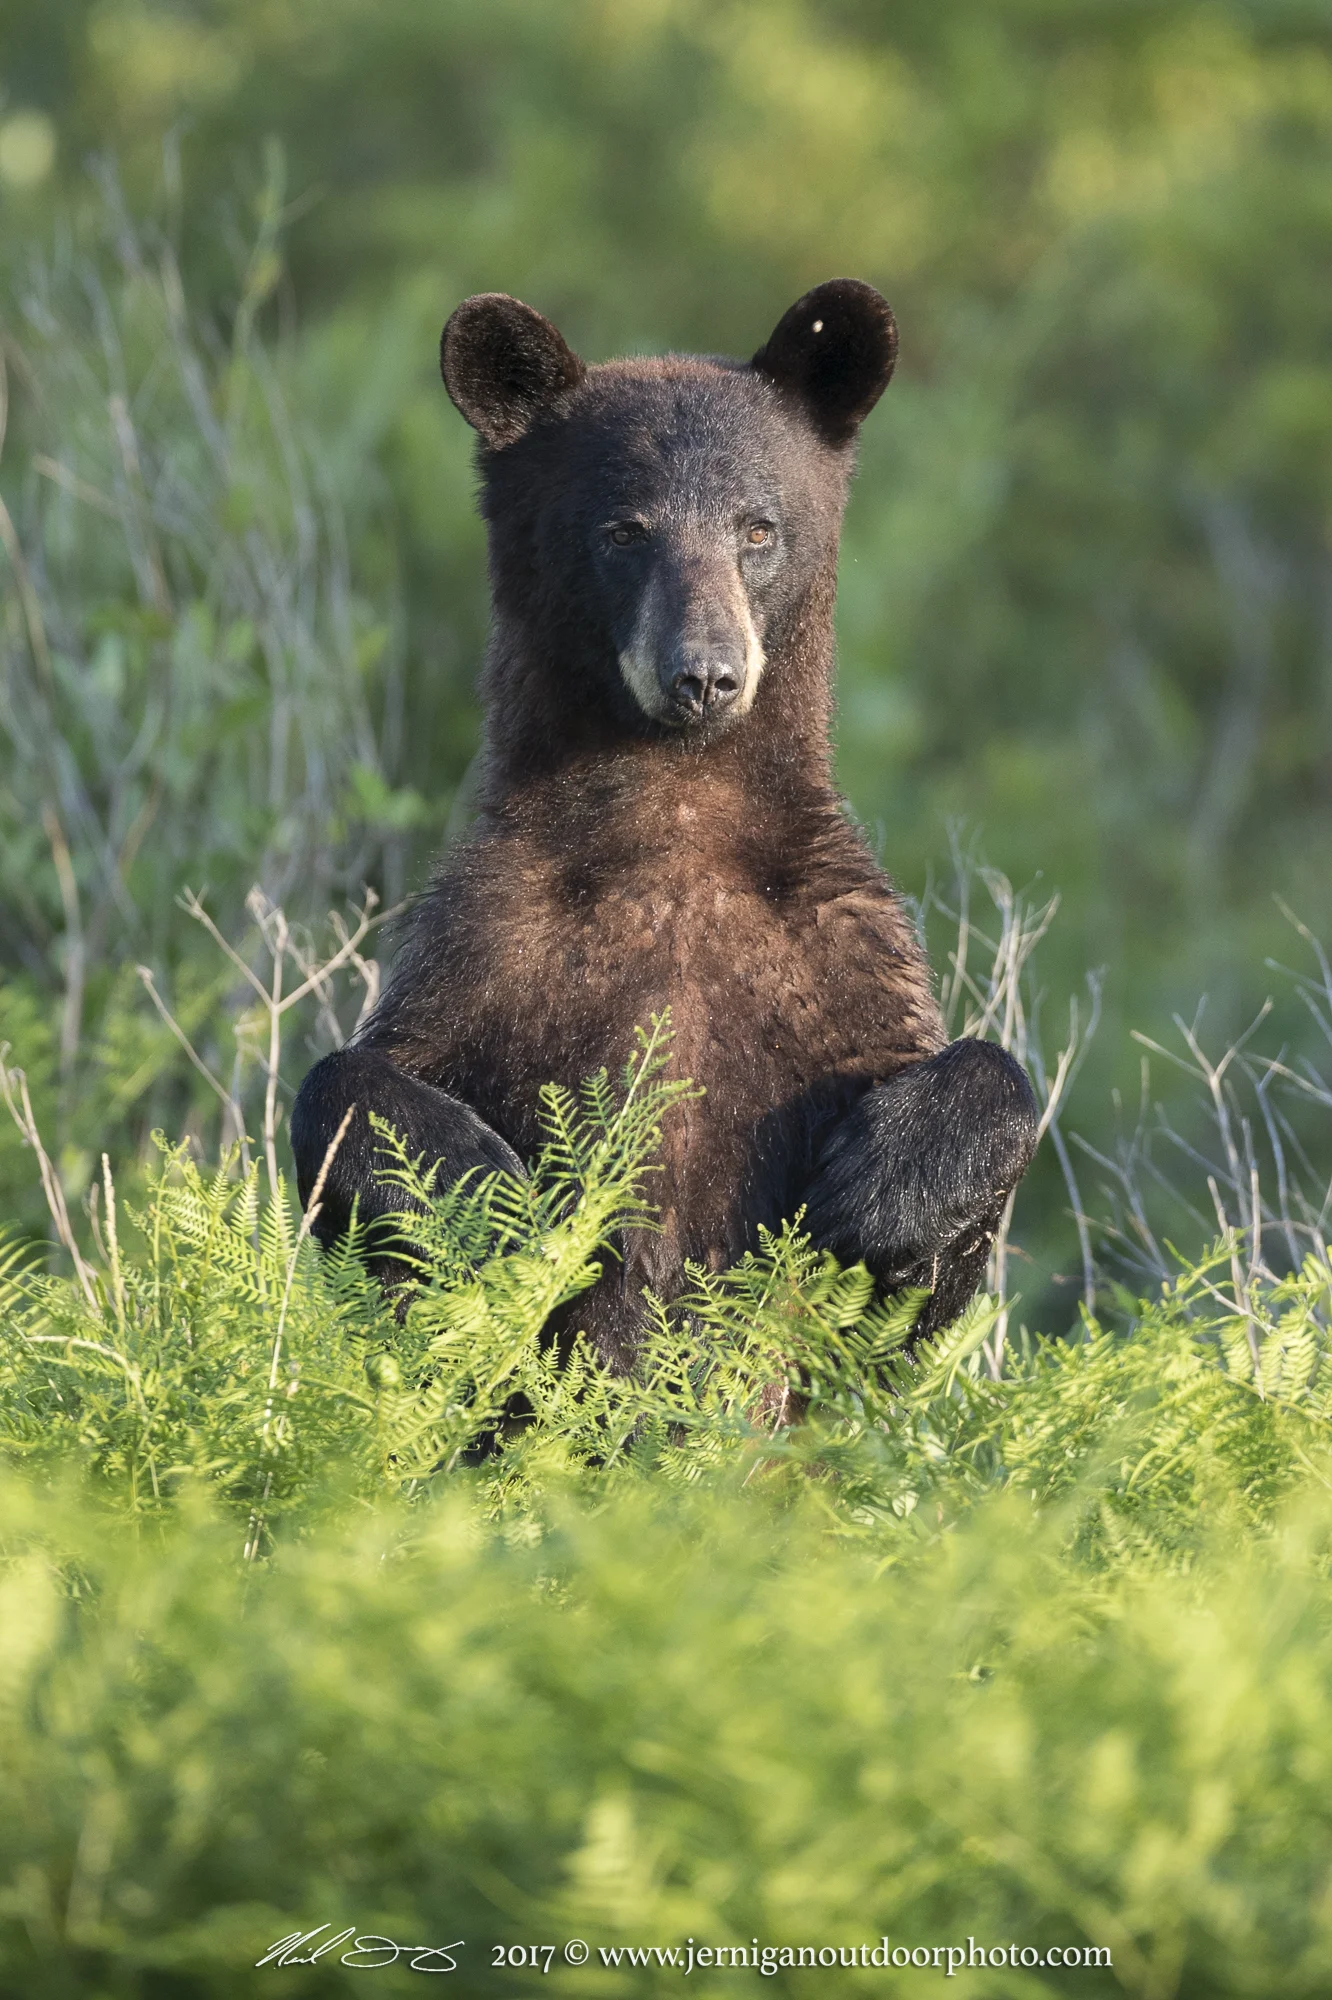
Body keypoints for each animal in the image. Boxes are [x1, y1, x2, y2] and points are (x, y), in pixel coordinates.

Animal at [290, 279, 1040, 1370]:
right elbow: (351, 1078)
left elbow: (925, 1276)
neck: (676, 825)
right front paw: (476, 1185)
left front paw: (882, 1193)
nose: (705, 672)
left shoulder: (840, 951)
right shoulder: (490, 942)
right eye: (623, 529)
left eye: (758, 527)